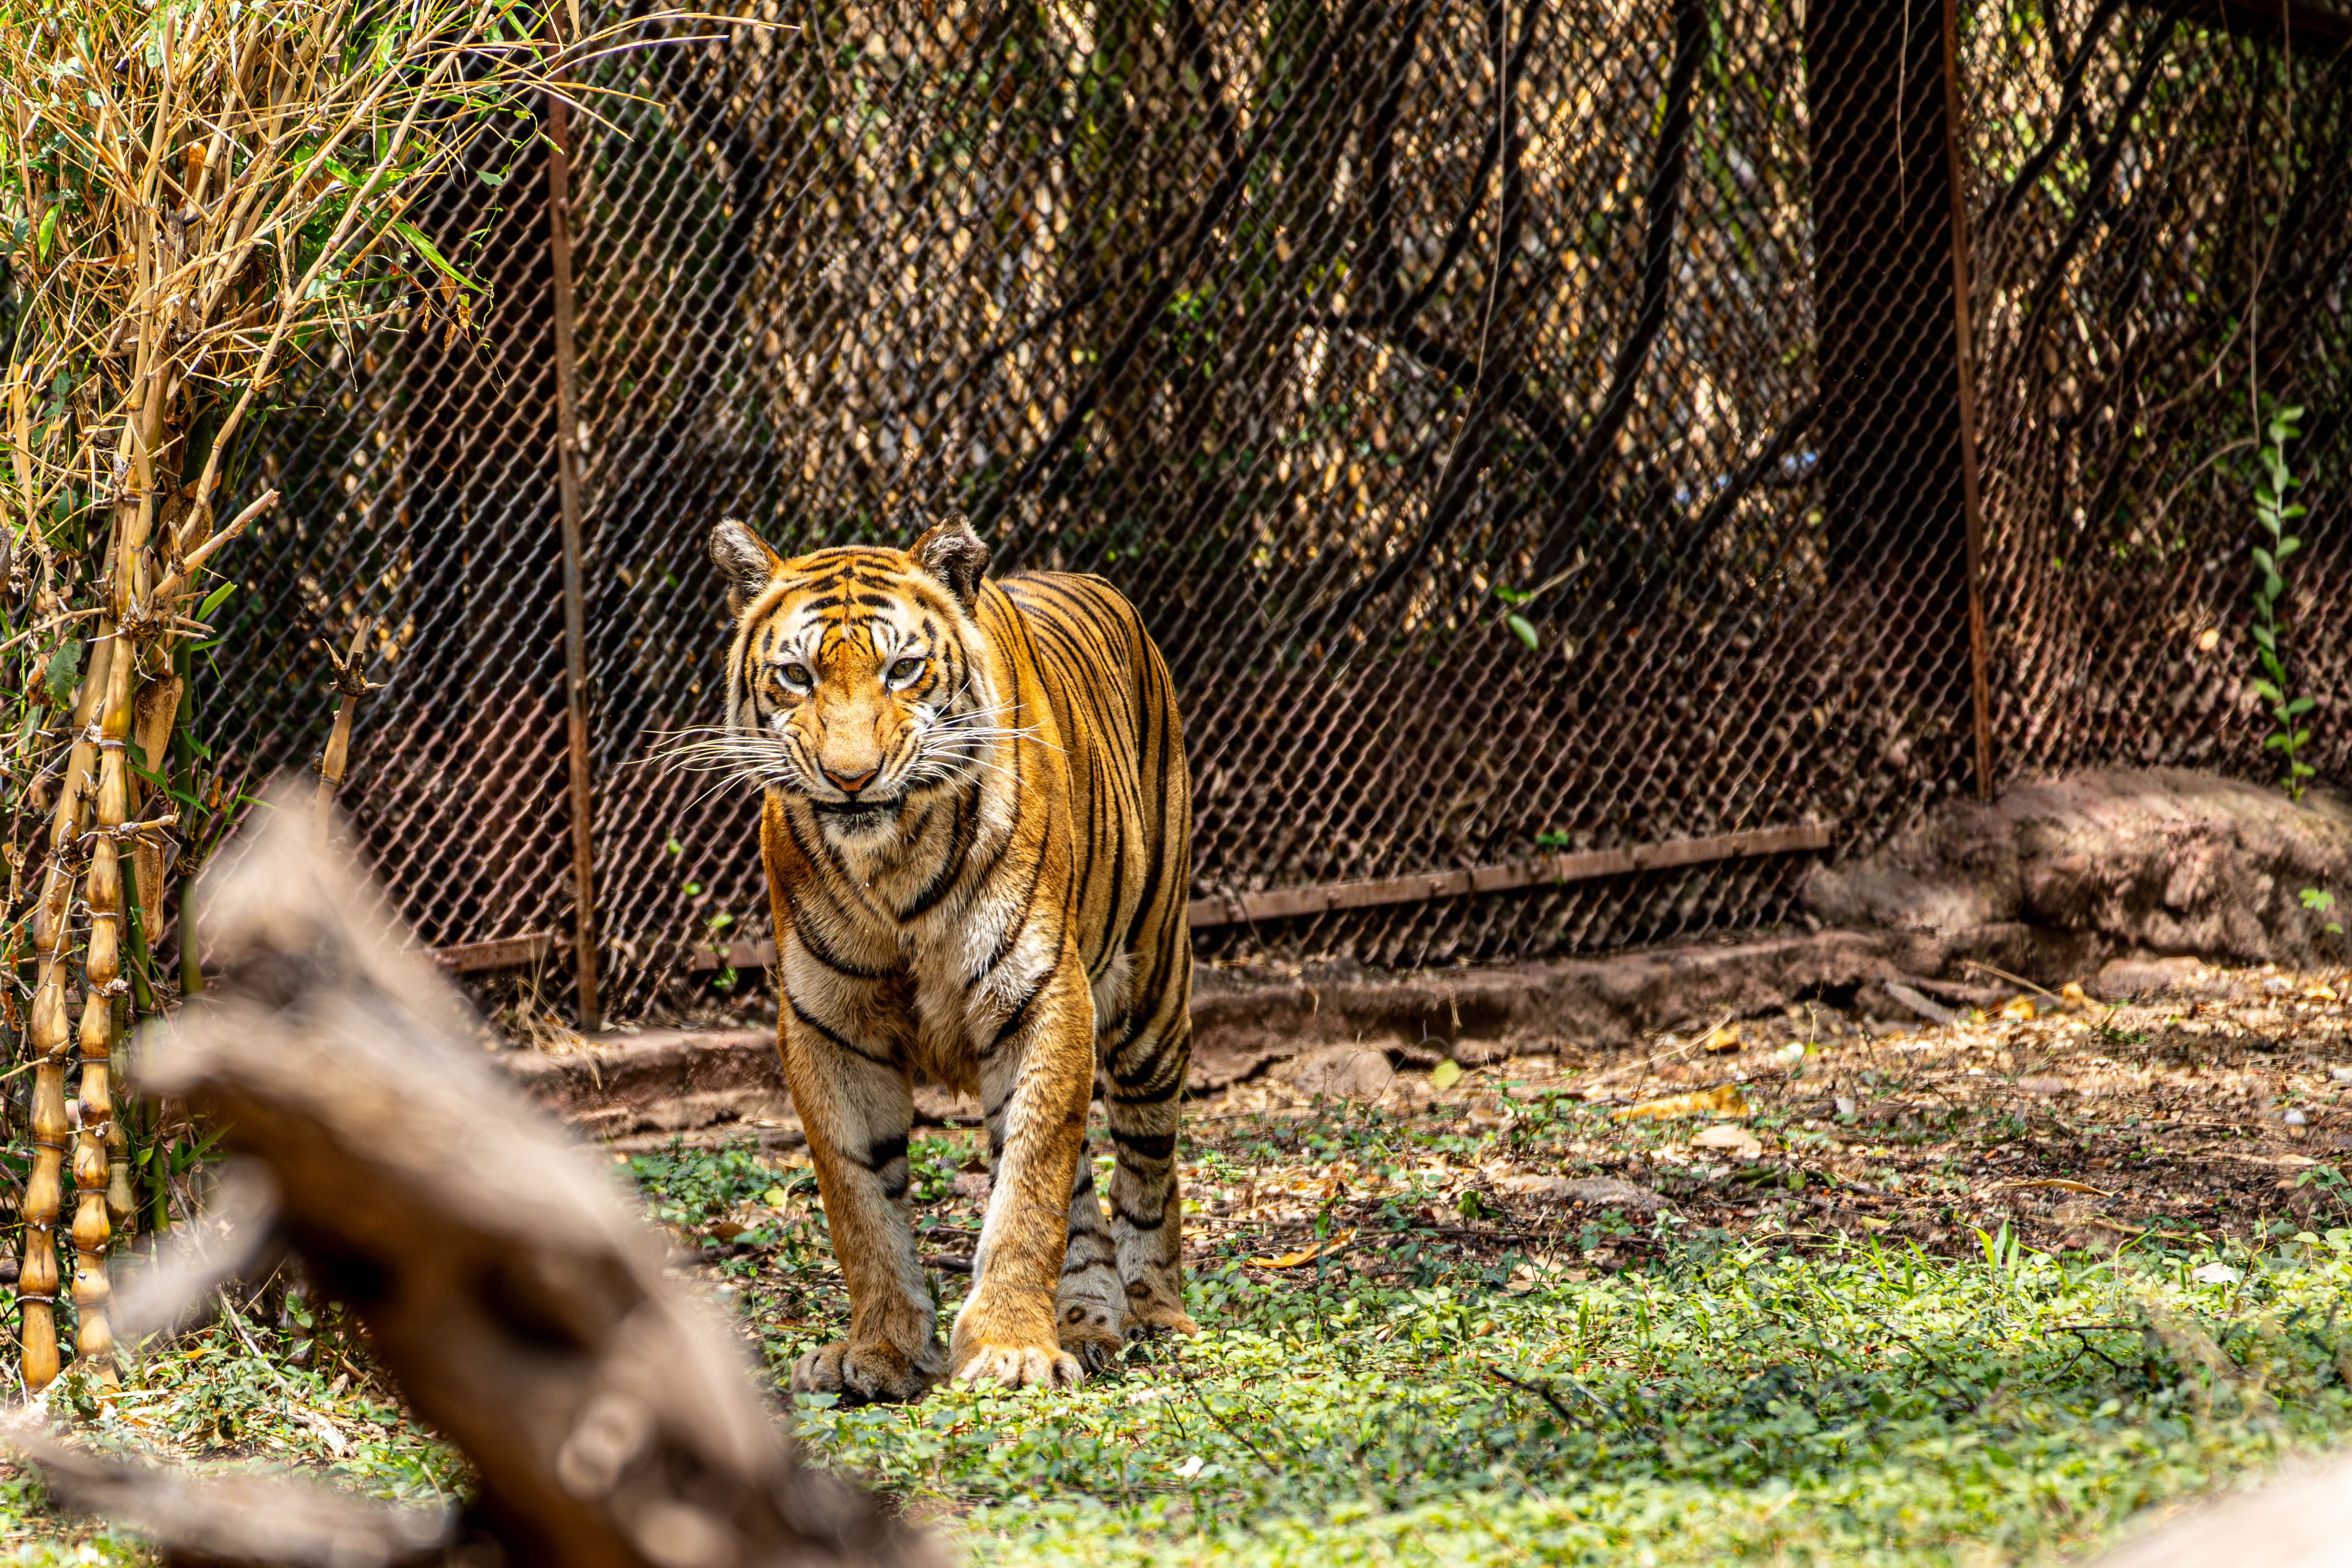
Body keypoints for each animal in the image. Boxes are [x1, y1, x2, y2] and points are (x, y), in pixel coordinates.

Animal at [706, 511, 1199, 1402]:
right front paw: (881, 1347)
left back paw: (1152, 1310)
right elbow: (861, 1201)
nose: (852, 778)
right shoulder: (828, 1026)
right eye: (796, 675)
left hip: (1151, 995)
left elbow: (1028, 1187)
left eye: (903, 670)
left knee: (1148, 1164)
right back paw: (1087, 1318)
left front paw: (1009, 1348)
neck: (890, 865)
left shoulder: (1043, 994)